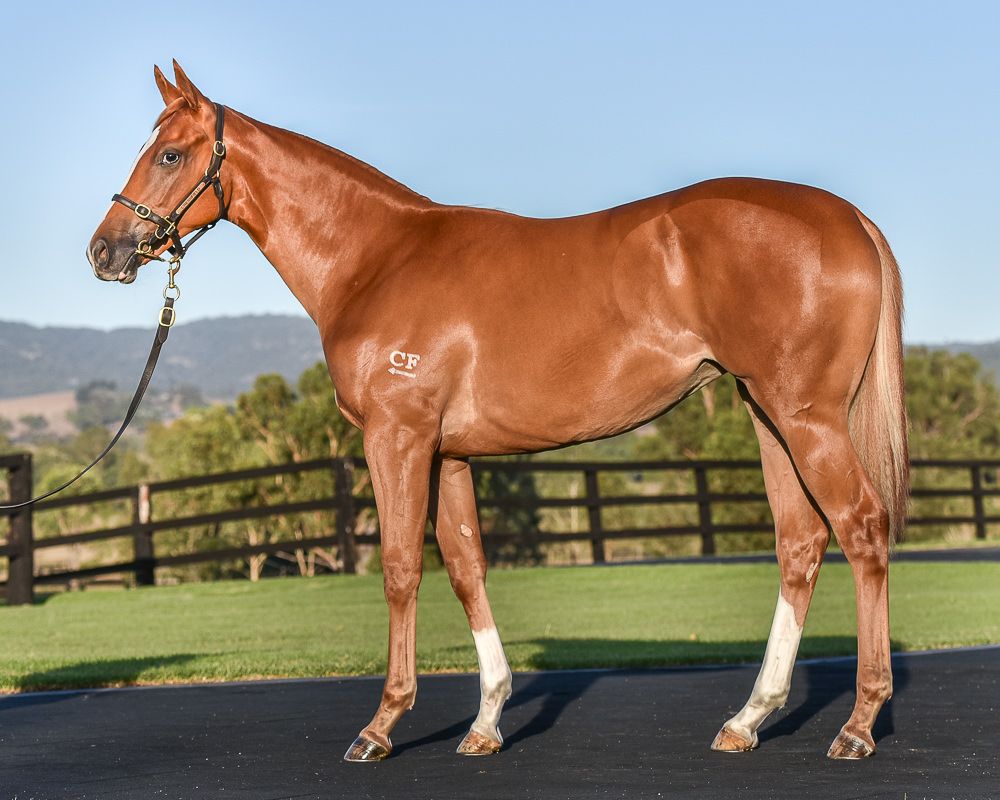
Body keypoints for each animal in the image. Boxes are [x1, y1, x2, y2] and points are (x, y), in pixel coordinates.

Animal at [87, 62, 908, 763]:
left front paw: (381, 726)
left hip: (806, 418)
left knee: (862, 529)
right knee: (801, 543)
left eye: (169, 154)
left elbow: (399, 568)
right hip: (769, 414)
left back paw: (859, 724)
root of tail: (850, 219)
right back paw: (748, 719)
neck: (376, 257)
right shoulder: (448, 451)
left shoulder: (397, 438)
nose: (105, 251)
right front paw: (485, 722)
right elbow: (465, 566)